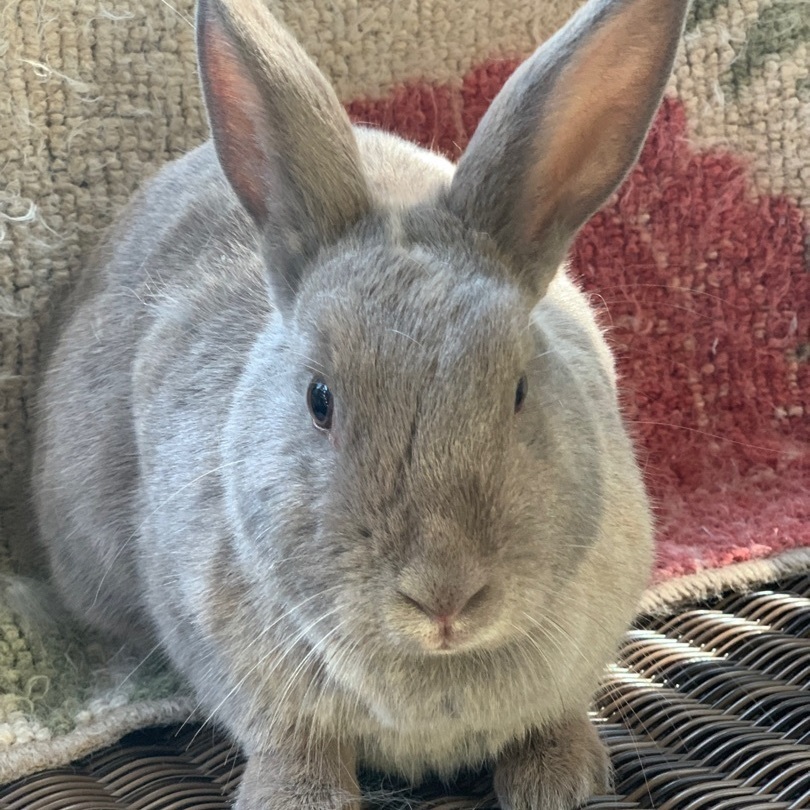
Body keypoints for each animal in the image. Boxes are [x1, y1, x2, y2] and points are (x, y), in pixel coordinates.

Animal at [32, 0, 689, 807]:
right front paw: (297, 798)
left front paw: (560, 779)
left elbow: (554, 714)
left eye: (519, 390)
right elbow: (292, 742)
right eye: (320, 400)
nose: (444, 595)